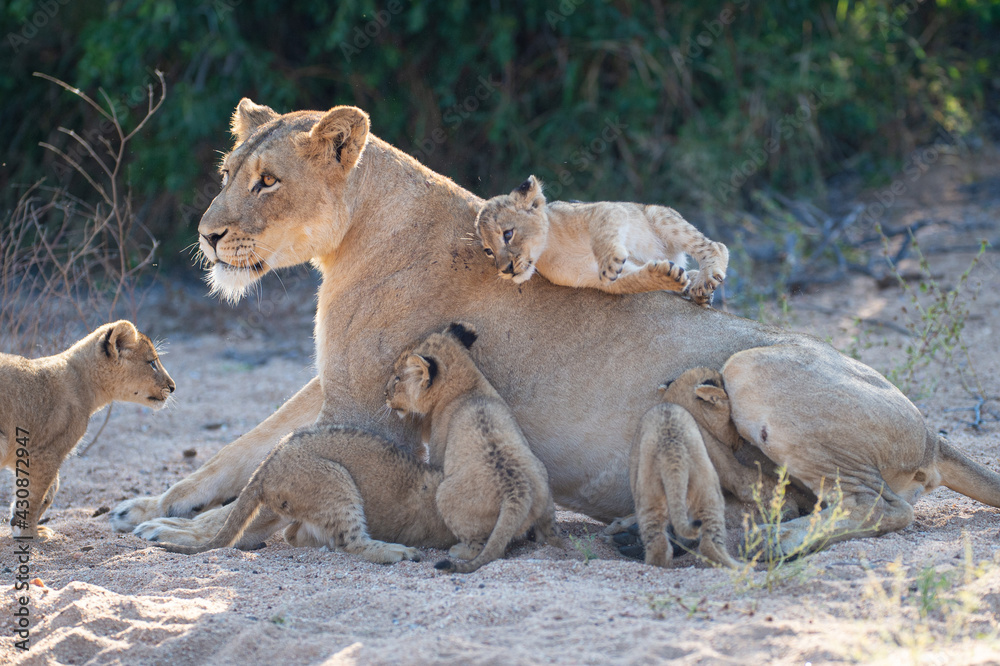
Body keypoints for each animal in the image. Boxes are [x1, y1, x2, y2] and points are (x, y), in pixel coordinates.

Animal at [1, 321, 175, 540]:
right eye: (152, 362)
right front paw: (30, 533)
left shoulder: (26, 453)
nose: (173, 386)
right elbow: (35, 495)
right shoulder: (44, 453)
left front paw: (19, 522)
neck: (85, 383)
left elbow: (49, 489)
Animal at [386, 322, 562, 573]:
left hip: (445, 495)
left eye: (398, 378)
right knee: (548, 534)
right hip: (545, 491)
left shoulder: (438, 452)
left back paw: (458, 550)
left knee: (480, 545)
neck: (467, 385)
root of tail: (516, 493)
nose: (384, 394)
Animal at [474, 175, 729, 305]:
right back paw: (697, 290)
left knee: (718, 246)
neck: (550, 250)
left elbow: (602, 234)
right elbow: (636, 280)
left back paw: (705, 280)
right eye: (488, 251)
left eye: (508, 234)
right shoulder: (588, 277)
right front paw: (667, 276)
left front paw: (609, 263)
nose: (505, 270)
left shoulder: (607, 208)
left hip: (658, 214)